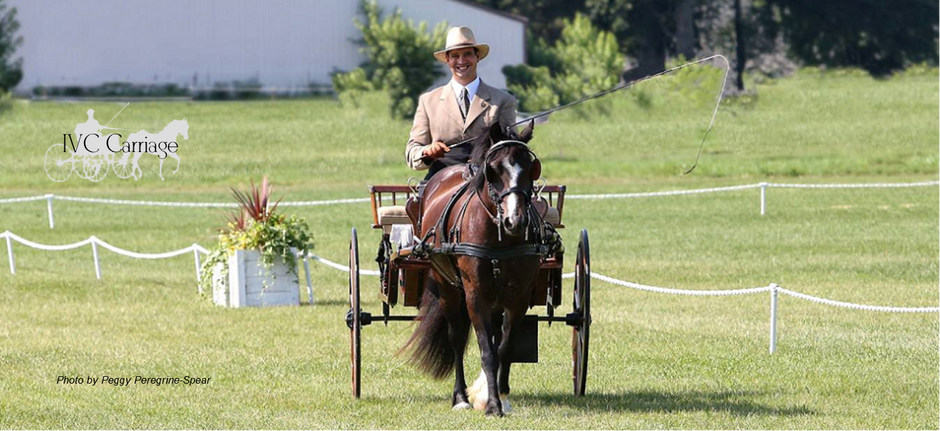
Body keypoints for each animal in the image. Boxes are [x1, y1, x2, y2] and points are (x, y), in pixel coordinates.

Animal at [404, 121, 545, 416]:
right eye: (494, 169)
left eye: (531, 168)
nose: (515, 220)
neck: (501, 237)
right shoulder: (475, 296)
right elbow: (486, 351)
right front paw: (491, 405)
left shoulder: (519, 297)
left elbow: (504, 348)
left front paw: (500, 396)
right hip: (447, 287)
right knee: (456, 339)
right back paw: (460, 397)